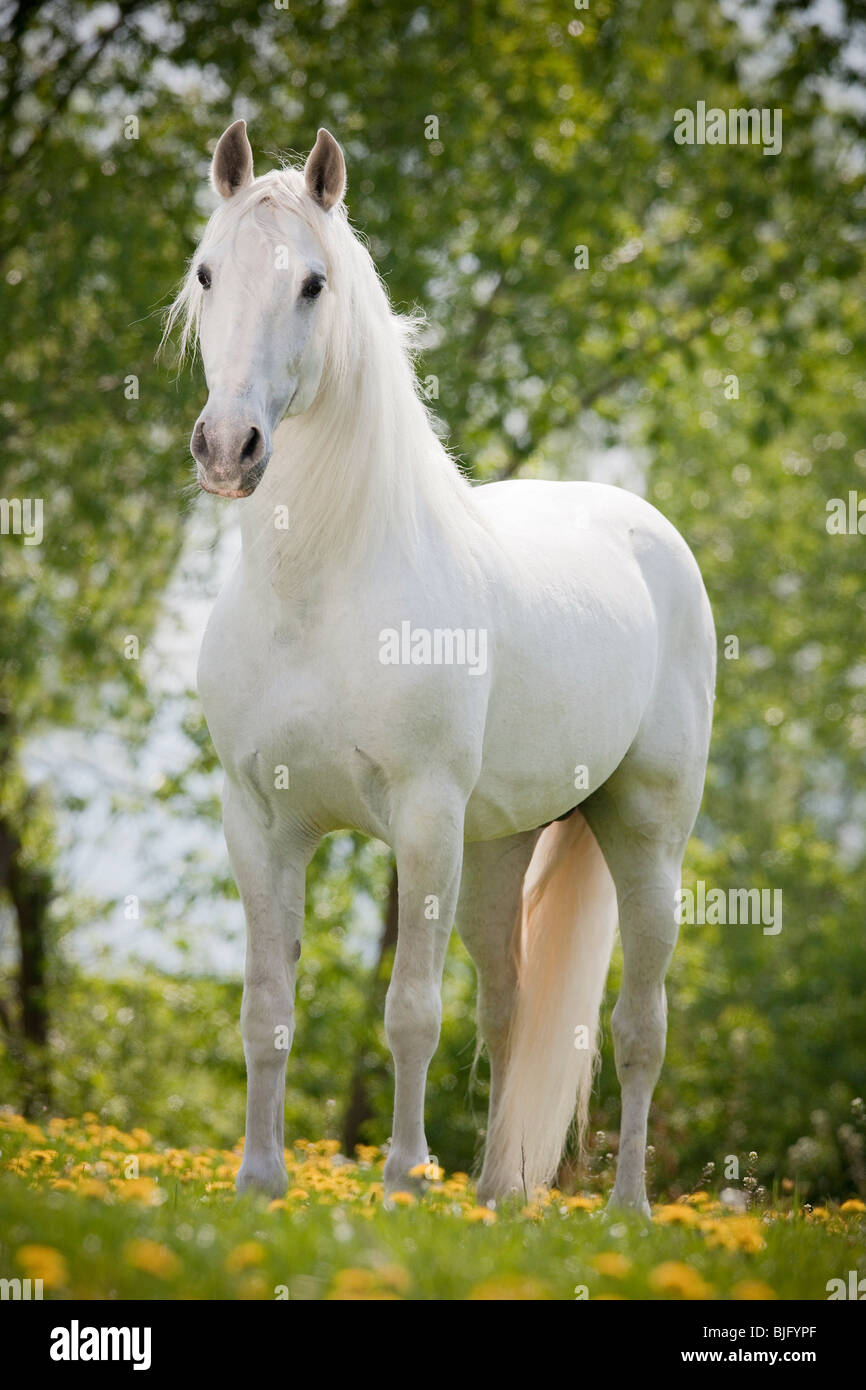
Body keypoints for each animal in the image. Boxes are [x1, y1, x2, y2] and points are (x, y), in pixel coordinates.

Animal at [165, 120, 716, 1213]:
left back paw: (627, 1210)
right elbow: (266, 1007)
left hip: (645, 839)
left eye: (313, 284)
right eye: (207, 271)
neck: (318, 589)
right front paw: (259, 1183)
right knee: (509, 1008)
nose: (227, 447)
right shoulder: (258, 822)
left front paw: (403, 1186)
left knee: (637, 1027)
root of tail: (645, 525)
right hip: (498, 849)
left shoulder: (422, 819)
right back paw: (496, 1195)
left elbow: (409, 1010)